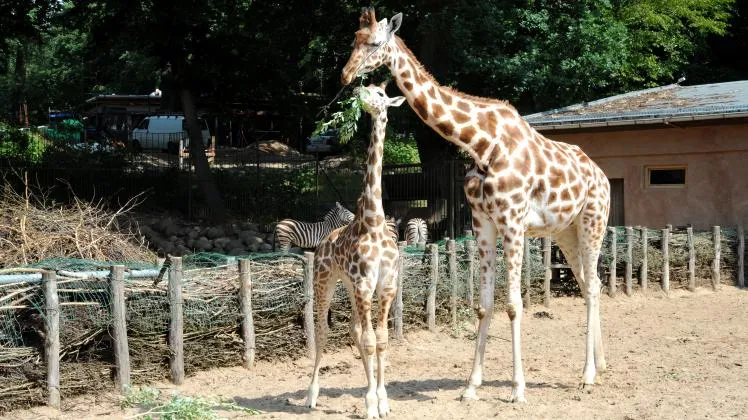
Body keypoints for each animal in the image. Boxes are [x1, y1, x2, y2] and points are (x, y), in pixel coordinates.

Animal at [306, 83, 405, 419]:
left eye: (380, 94)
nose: (359, 93)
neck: (372, 222)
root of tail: (324, 241)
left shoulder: (385, 284)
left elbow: (382, 340)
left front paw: (382, 401)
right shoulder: (364, 284)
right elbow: (371, 340)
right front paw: (371, 404)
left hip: (349, 286)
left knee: (355, 331)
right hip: (325, 280)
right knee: (323, 331)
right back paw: (311, 396)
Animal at [340, 8, 611, 403]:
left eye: (374, 43)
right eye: (353, 39)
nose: (345, 75)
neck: (482, 144)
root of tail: (603, 176)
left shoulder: (513, 221)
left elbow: (513, 305)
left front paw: (517, 389)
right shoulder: (482, 222)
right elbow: (484, 305)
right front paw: (471, 386)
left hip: (594, 221)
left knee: (591, 286)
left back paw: (588, 375)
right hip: (566, 231)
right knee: (589, 281)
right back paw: (600, 367)